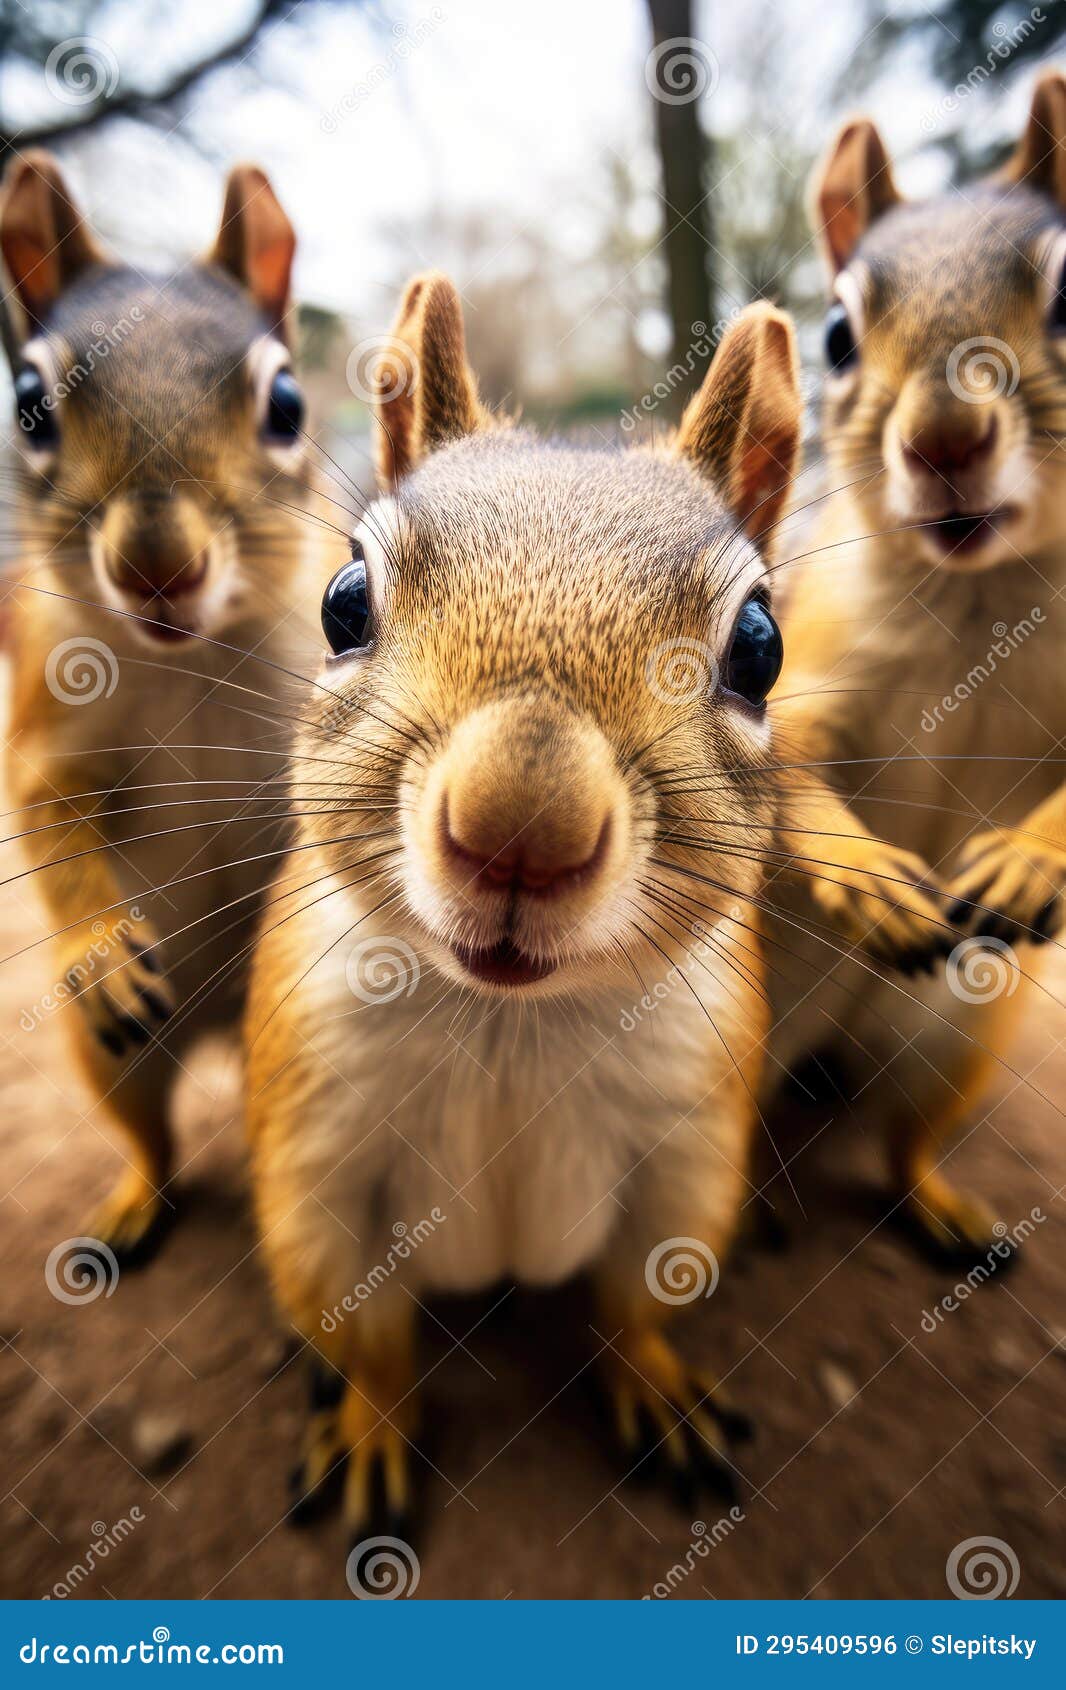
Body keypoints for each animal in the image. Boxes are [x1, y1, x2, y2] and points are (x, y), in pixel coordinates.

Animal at [1, 152, 329, 1265]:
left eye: (287, 401)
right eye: (29, 404)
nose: (157, 565)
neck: (191, 667)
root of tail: (220, 1024)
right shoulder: (46, 722)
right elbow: (47, 817)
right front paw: (99, 950)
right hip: (112, 1057)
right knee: (152, 1134)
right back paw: (133, 1206)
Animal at [243, 273, 945, 1548]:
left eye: (761, 648)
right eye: (342, 601)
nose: (523, 828)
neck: (507, 1022)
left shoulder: (683, 1163)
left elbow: (633, 1302)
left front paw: (656, 1386)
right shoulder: (316, 1169)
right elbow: (368, 1334)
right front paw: (369, 1423)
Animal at [762, 69, 1066, 1265]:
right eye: (837, 334)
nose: (943, 440)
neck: (979, 598)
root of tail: (829, 1040)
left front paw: (1027, 861)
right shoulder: (808, 662)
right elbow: (788, 763)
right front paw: (865, 872)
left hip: (954, 1037)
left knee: (902, 1141)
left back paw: (943, 1210)